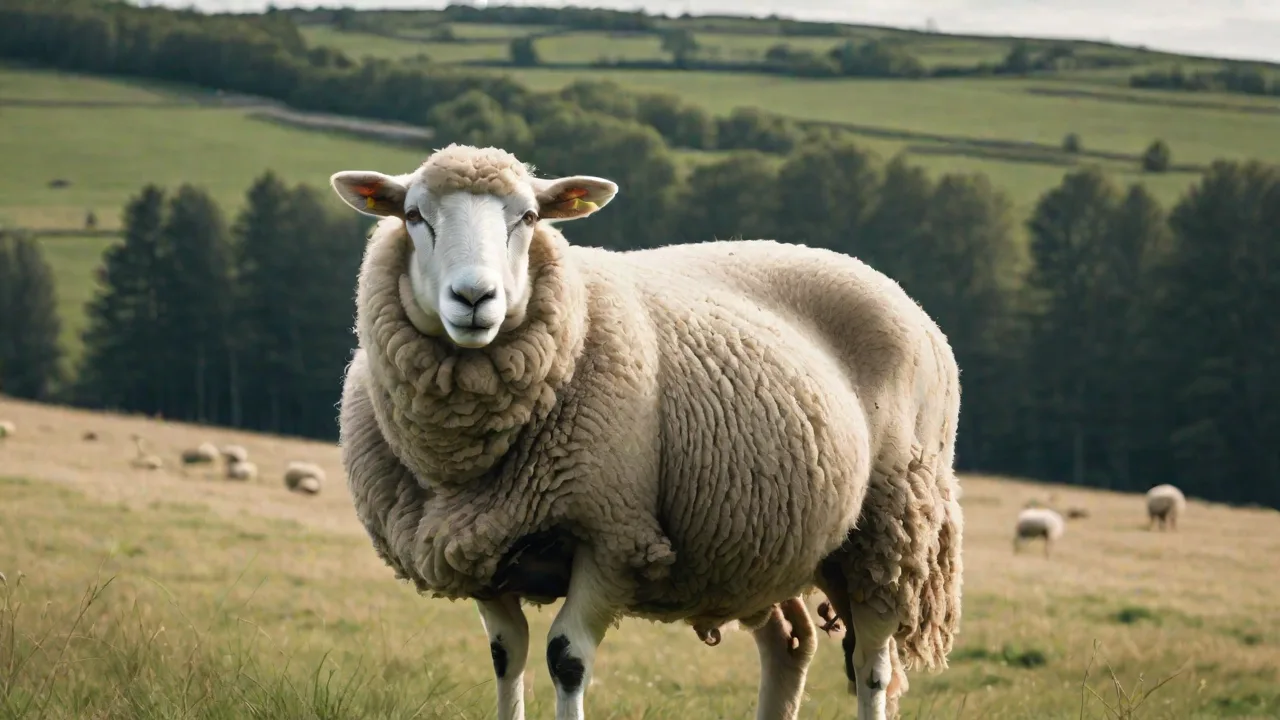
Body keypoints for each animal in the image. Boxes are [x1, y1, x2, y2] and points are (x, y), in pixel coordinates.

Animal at [331, 144, 963, 720]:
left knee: (871, 665)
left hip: (889, 528)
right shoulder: (479, 547)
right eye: (414, 215)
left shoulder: (613, 534)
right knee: (790, 645)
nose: (473, 298)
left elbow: (566, 659)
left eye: (529, 217)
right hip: (767, 548)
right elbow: (506, 659)